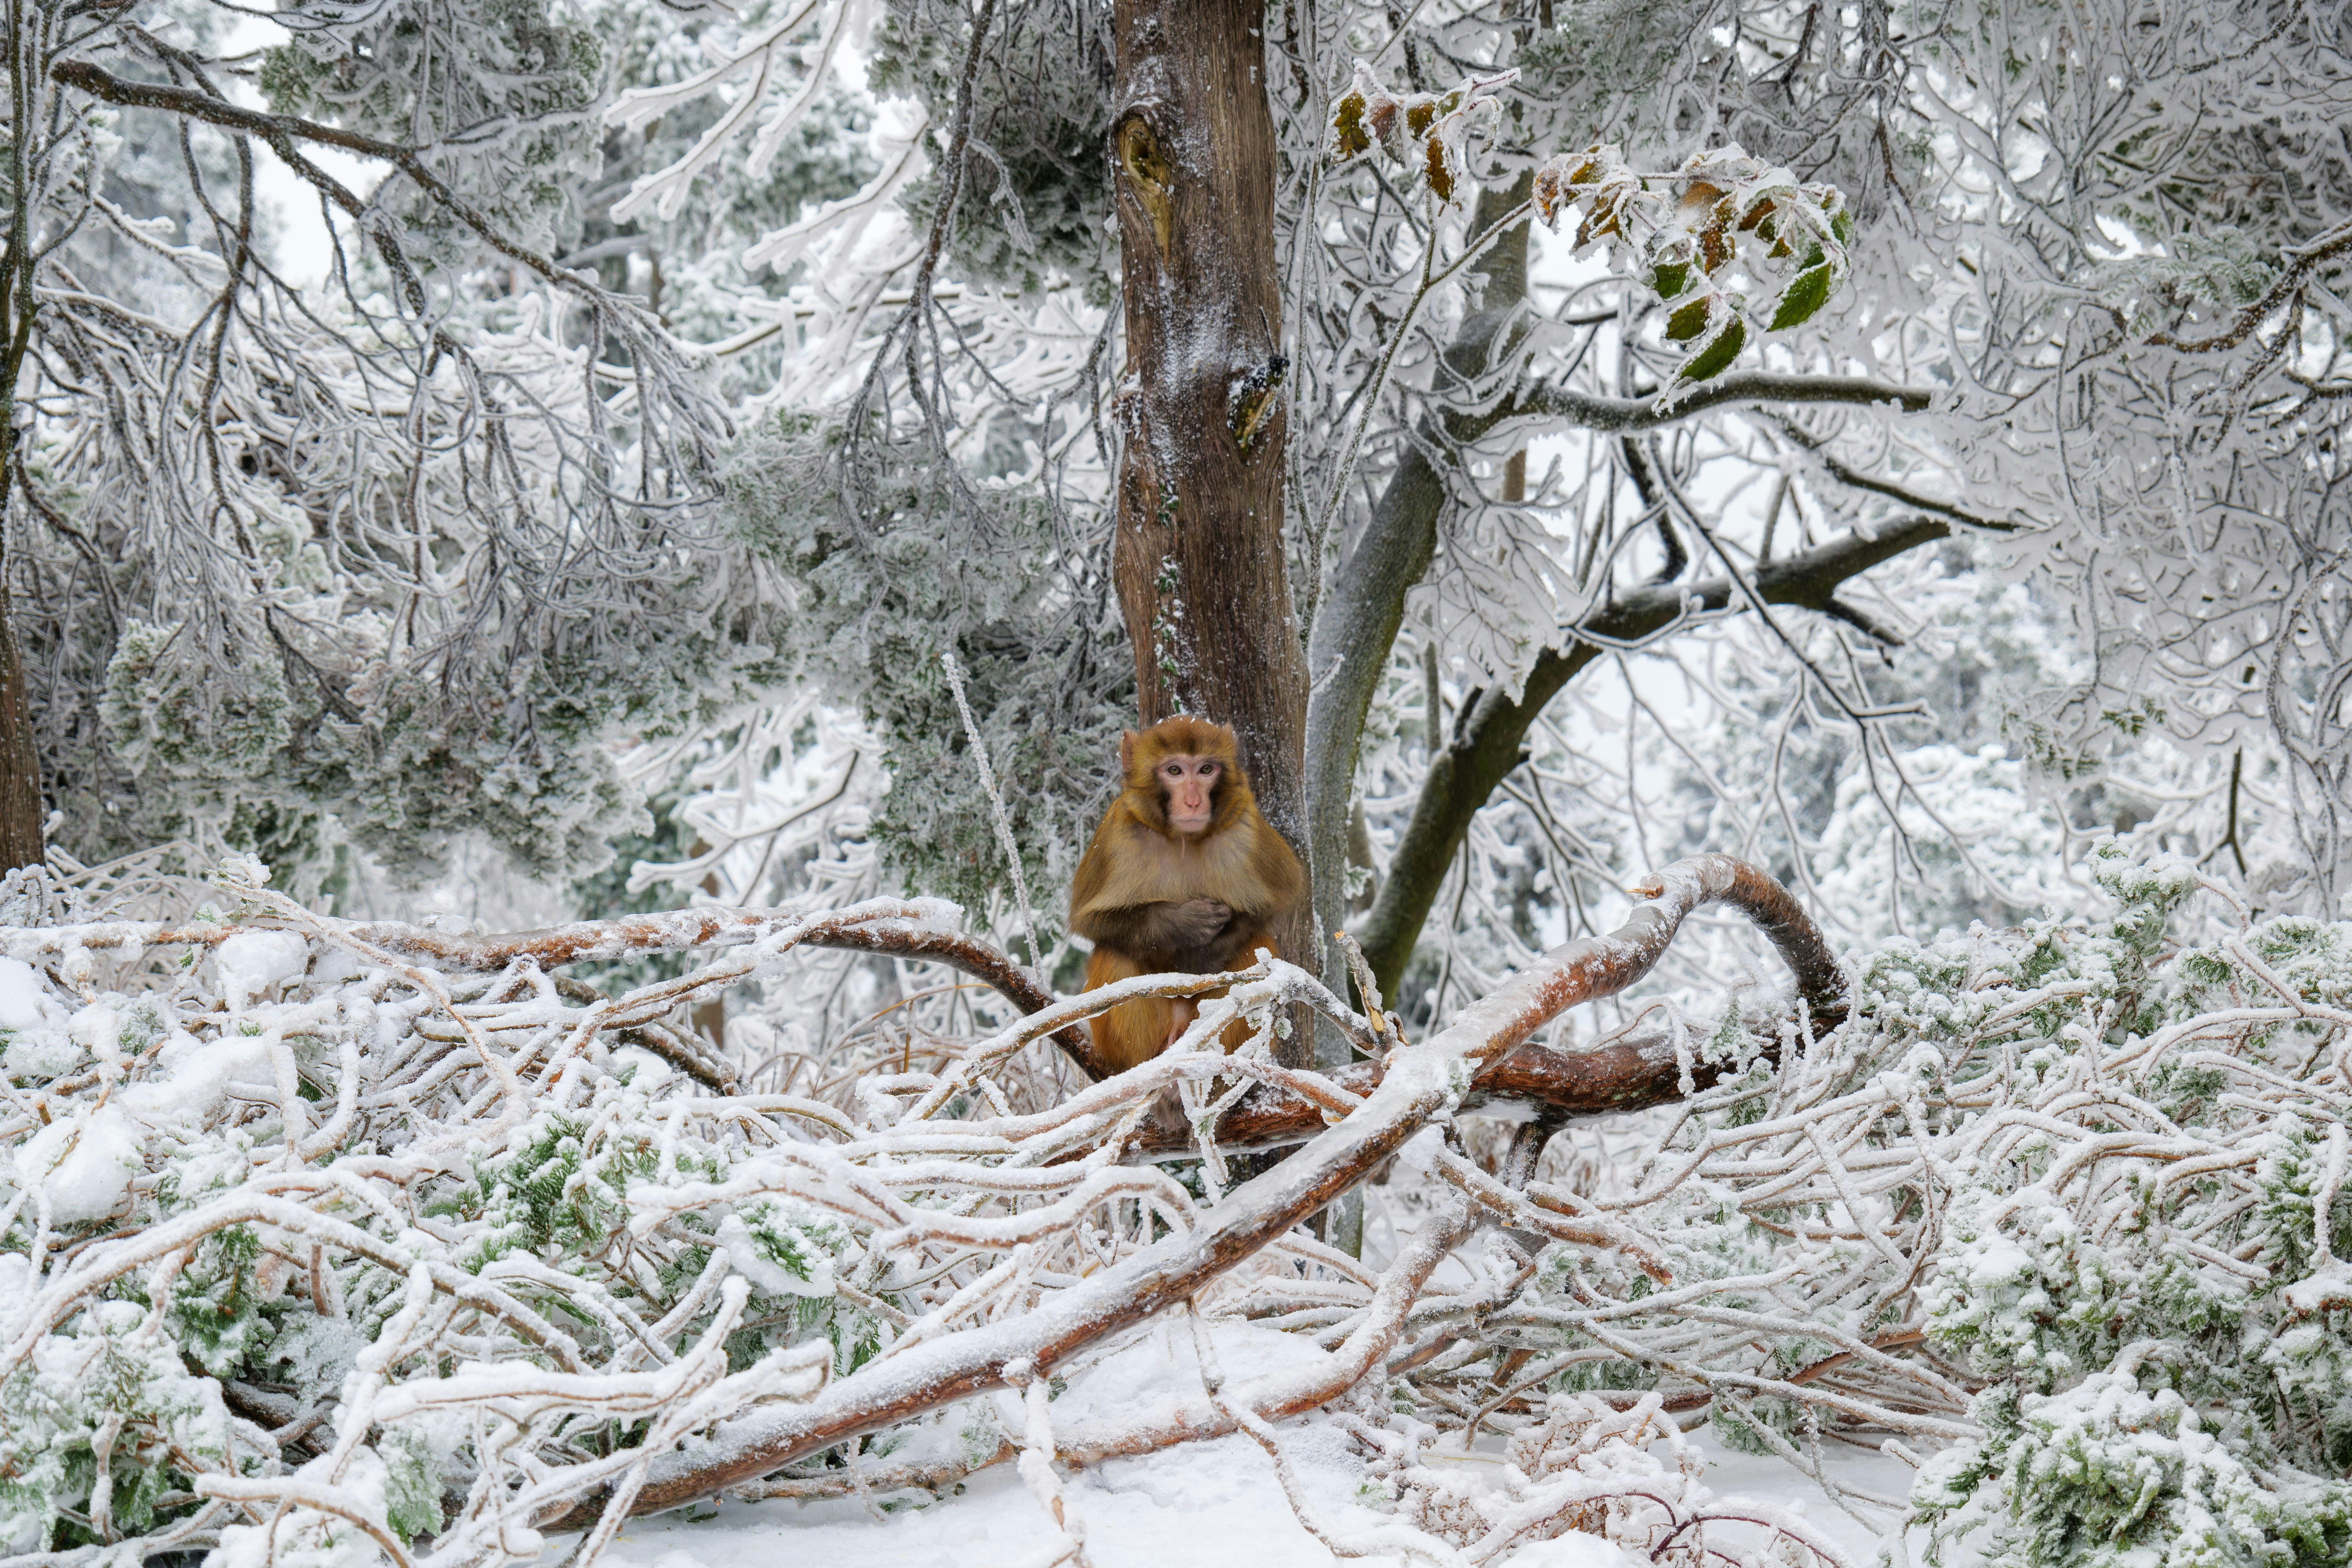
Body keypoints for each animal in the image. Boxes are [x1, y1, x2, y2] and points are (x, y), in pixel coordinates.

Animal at [1068, 716, 1306, 1075]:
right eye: (1175, 771)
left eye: (1206, 769)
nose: (1194, 802)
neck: (1182, 838)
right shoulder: (1116, 836)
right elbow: (1091, 922)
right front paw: (1184, 923)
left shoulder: (1246, 827)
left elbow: (1277, 903)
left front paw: (1200, 957)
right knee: (1114, 951)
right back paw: (1145, 1072)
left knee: (1252, 949)